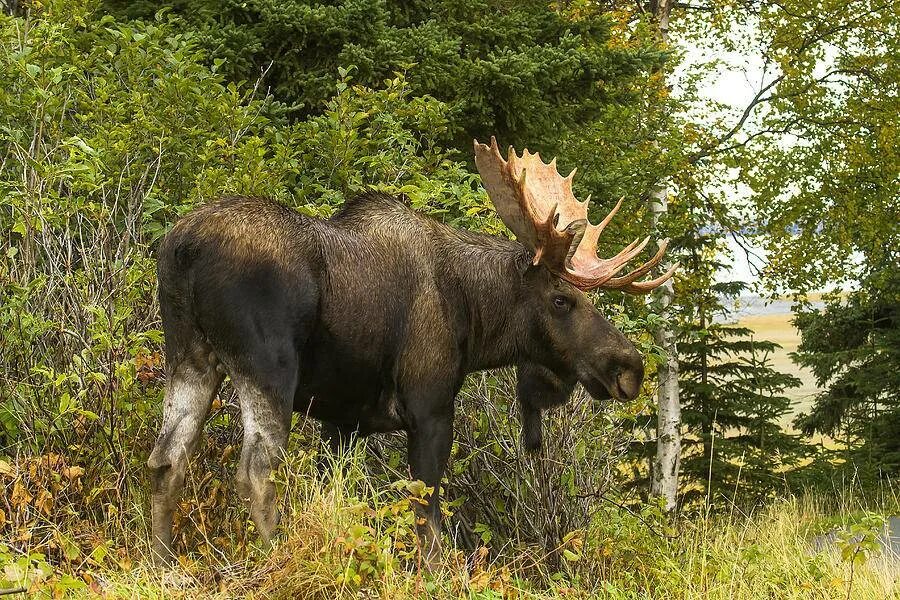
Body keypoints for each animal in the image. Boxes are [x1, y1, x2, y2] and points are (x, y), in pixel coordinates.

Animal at [146, 138, 676, 564]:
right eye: (562, 299)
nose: (629, 367)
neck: (474, 316)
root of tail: (184, 247)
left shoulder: (343, 421)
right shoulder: (430, 406)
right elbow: (428, 515)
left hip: (190, 356)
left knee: (167, 459)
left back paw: (165, 564)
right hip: (268, 368)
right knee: (256, 471)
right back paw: (272, 558)